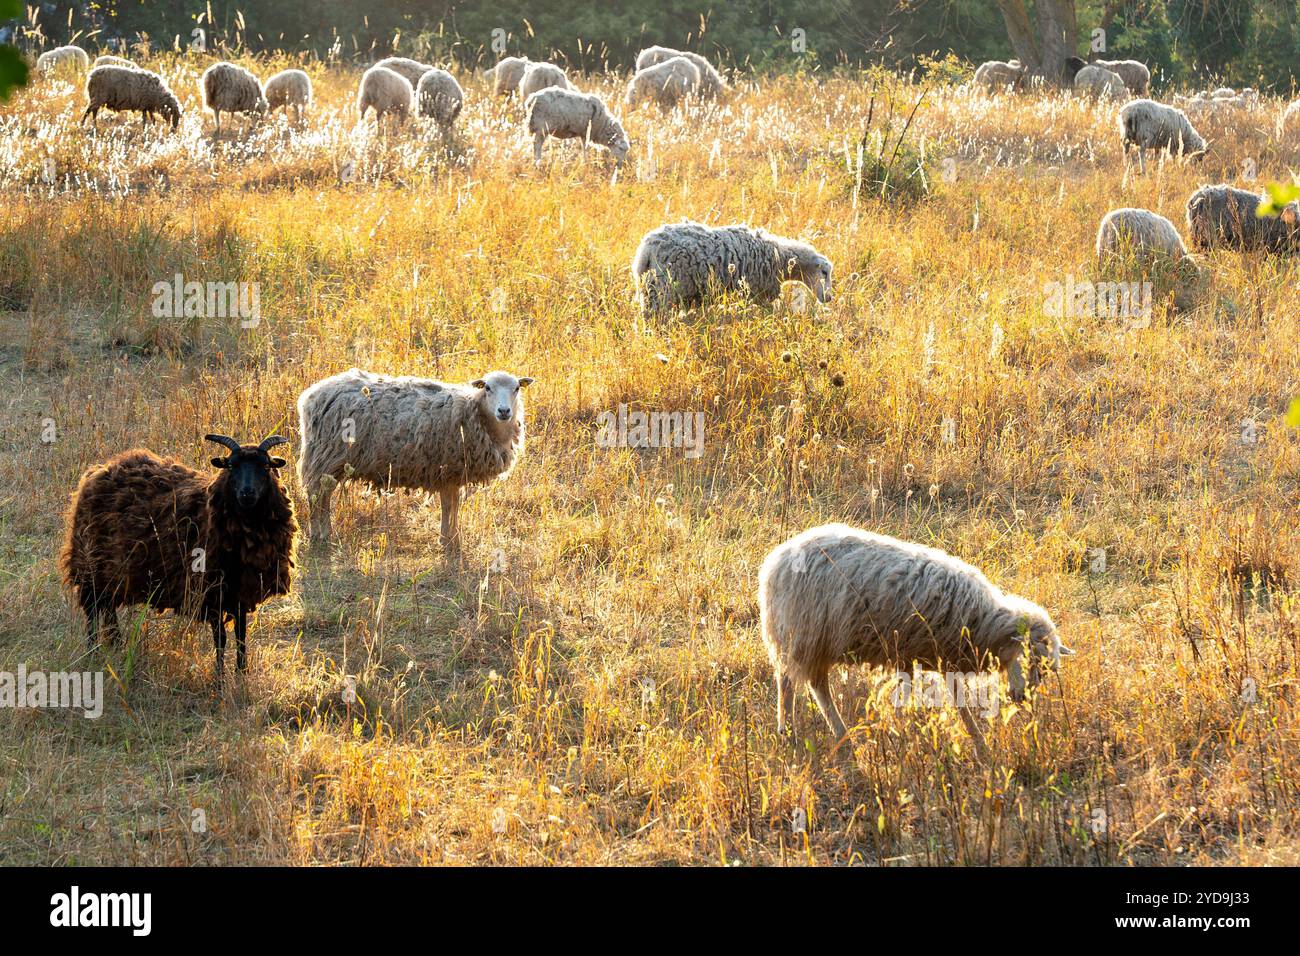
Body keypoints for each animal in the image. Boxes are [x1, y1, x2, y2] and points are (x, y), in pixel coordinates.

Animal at [59, 435, 295, 682]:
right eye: (231, 466)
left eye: (266, 466)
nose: (247, 493)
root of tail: (98, 470)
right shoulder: (210, 591)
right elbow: (220, 638)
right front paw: (219, 679)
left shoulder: (241, 591)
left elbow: (241, 636)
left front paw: (241, 673)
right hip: (90, 567)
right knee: (92, 613)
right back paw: (93, 653)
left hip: (112, 573)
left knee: (108, 608)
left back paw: (116, 646)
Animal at [296, 369, 534, 557]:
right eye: (488, 388)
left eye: (516, 388)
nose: (504, 411)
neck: (474, 413)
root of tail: (311, 396)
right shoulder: (448, 469)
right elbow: (449, 505)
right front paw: (448, 540)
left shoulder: (452, 473)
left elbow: (453, 504)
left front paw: (451, 538)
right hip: (325, 455)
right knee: (316, 494)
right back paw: (318, 534)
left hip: (330, 460)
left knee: (323, 494)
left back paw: (324, 533)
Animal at [632, 220, 832, 317]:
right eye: (824, 272)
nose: (829, 298)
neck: (779, 257)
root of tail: (646, 250)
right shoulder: (758, 292)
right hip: (662, 290)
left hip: (649, 289)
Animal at [757, 523, 1072, 751]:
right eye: (1030, 657)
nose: (1022, 699)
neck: (983, 622)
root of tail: (776, 558)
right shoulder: (936, 653)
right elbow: (957, 703)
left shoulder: (932, 657)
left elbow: (941, 699)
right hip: (801, 634)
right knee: (790, 682)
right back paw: (790, 731)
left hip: (814, 640)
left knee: (815, 684)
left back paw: (839, 734)